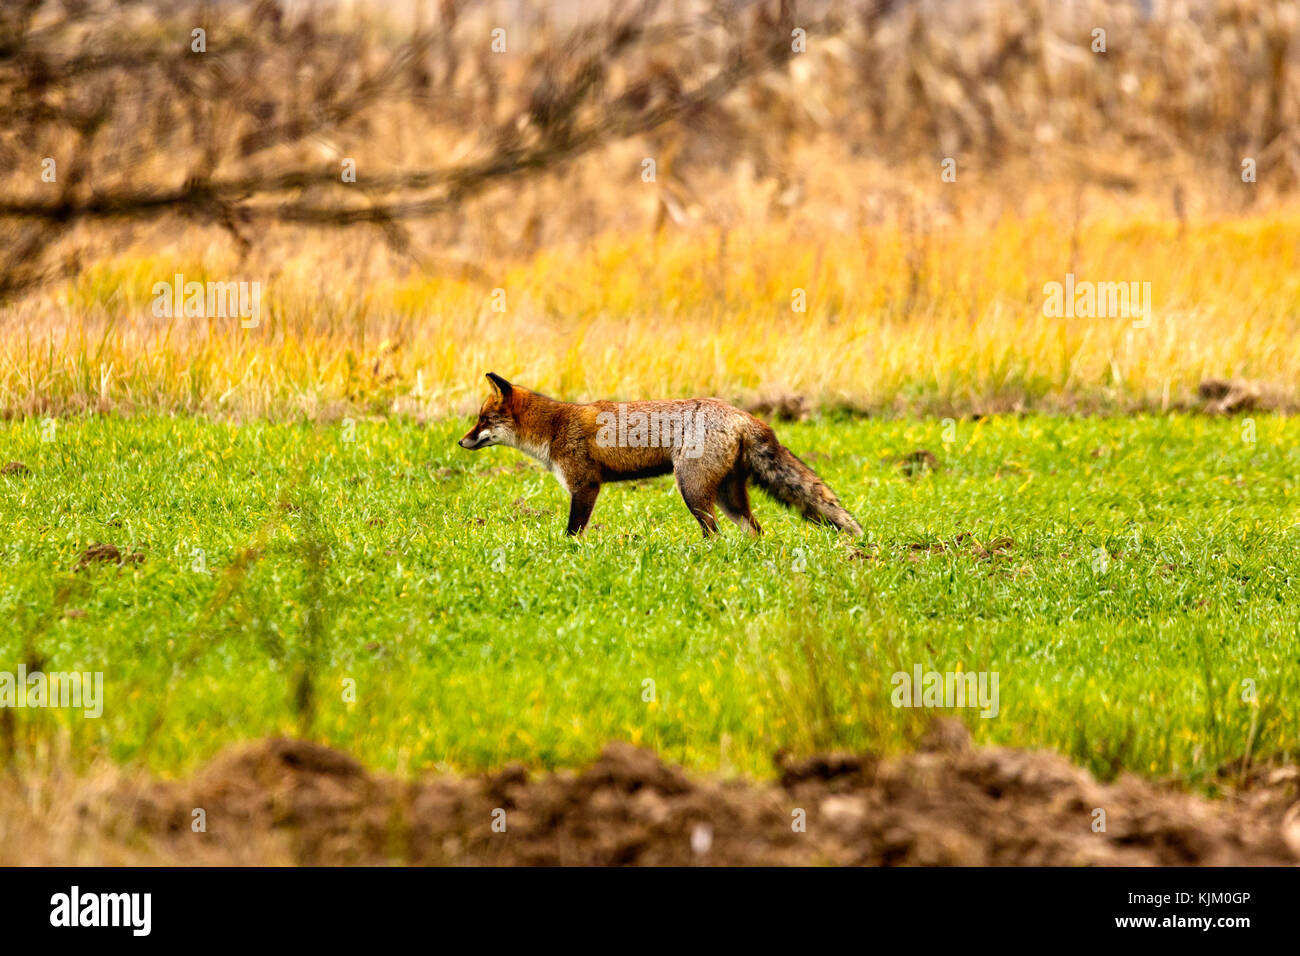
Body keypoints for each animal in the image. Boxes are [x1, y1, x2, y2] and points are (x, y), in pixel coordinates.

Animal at [458, 372, 863, 538]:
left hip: (693, 491)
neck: (555, 426)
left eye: (482, 420)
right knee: (755, 532)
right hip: (728, 497)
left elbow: (573, 533)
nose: (461, 442)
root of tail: (742, 414)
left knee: (715, 535)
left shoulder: (585, 485)